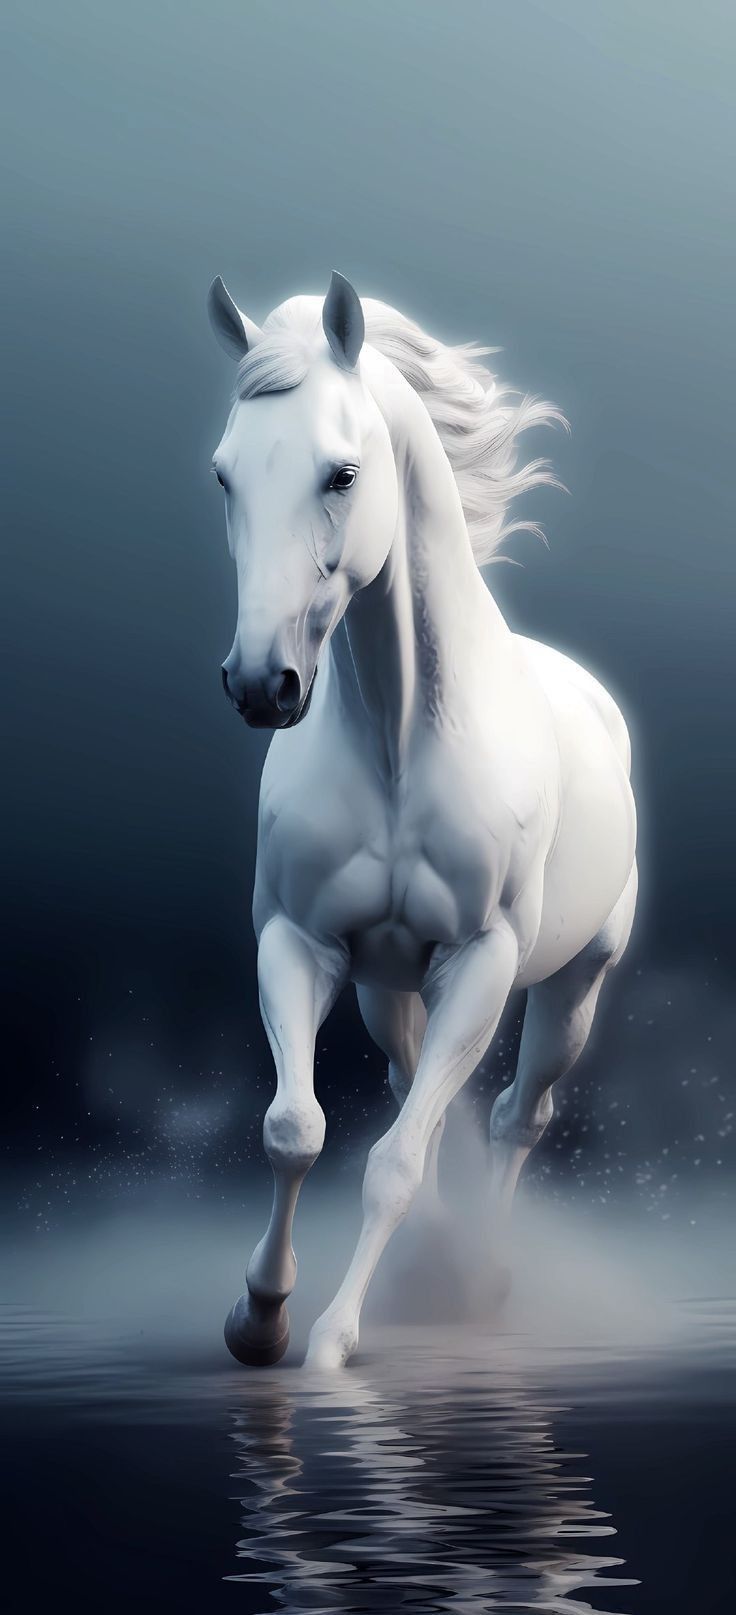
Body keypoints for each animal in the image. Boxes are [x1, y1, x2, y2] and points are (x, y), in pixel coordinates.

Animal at [207, 271, 637, 1370]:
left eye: (341, 473)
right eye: (225, 476)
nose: (261, 685)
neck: (405, 740)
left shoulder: (482, 962)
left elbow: (393, 1164)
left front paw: (331, 1344)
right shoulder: (300, 942)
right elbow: (296, 1127)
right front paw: (259, 1318)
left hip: (571, 982)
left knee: (517, 1115)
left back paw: (477, 1276)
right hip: (388, 988)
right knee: (416, 1097)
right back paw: (430, 1269)